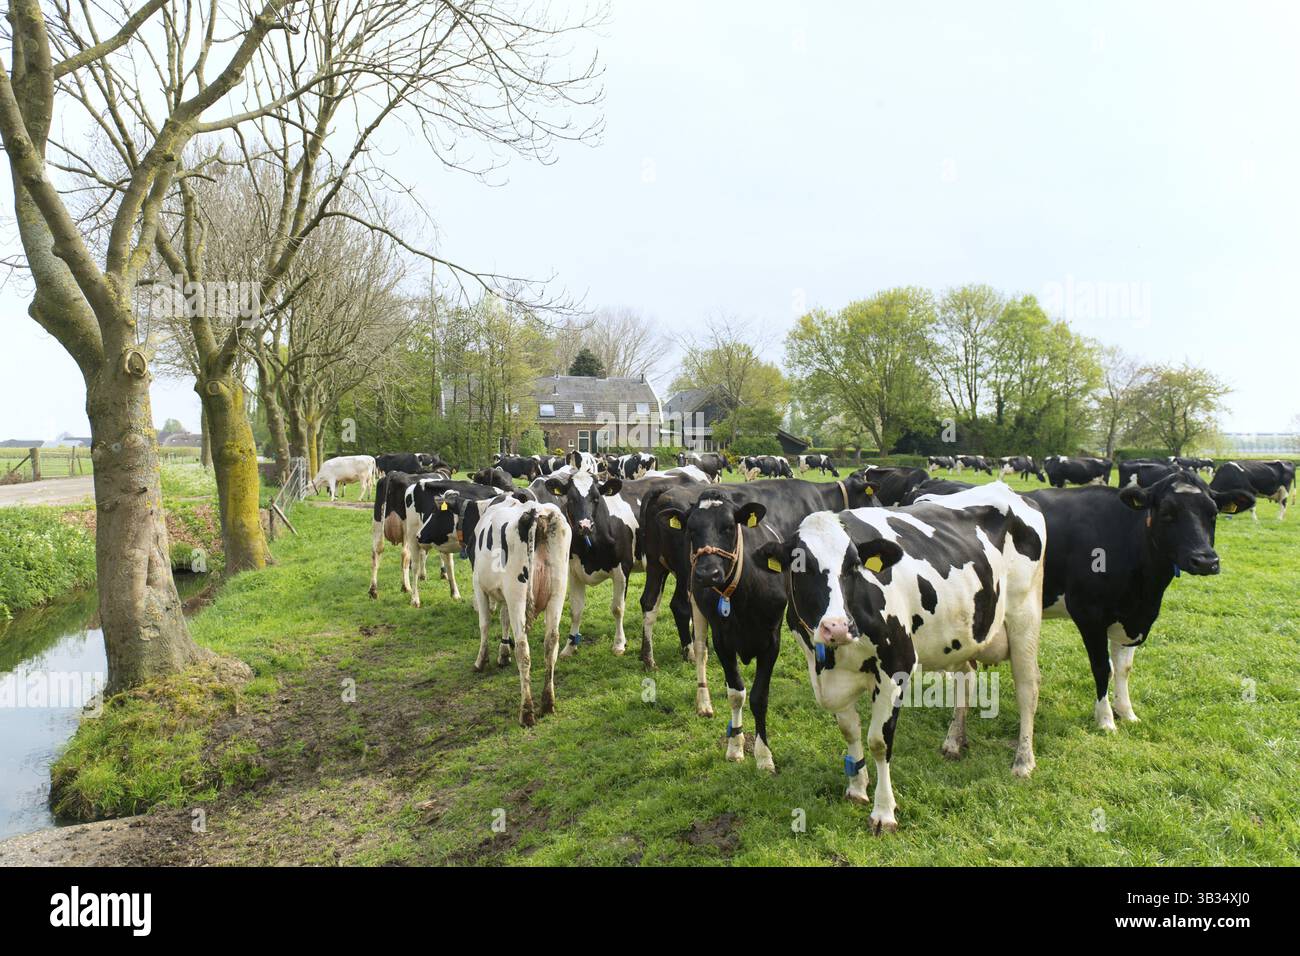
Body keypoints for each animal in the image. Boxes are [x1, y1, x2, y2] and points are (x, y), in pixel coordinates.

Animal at [468, 496, 572, 727]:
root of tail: (536, 512)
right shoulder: (504, 597)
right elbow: (503, 619)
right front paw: (503, 653)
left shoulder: (479, 586)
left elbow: (484, 624)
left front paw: (481, 660)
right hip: (557, 592)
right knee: (551, 642)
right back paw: (548, 704)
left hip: (518, 594)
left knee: (523, 649)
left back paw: (526, 712)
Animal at [757, 483, 1046, 831]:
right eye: (800, 566)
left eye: (853, 566)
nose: (836, 626)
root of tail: (1011, 491)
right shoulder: (827, 674)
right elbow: (849, 730)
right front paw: (856, 788)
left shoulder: (897, 665)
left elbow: (879, 741)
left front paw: (884, 812)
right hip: (963, 633)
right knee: (965, 679)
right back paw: (954, 742)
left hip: (1024, 618)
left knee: (1027, 689)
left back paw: (1023, 761)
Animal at [1025, 473, 1255, 730]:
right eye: (1166, 512)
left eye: (1213, 513)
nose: (1205, 561)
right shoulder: (1089, 614)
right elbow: (1103, 668)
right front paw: (1106, 720)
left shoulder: (1133, 617)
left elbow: (1123, 668)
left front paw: (1126, 712)